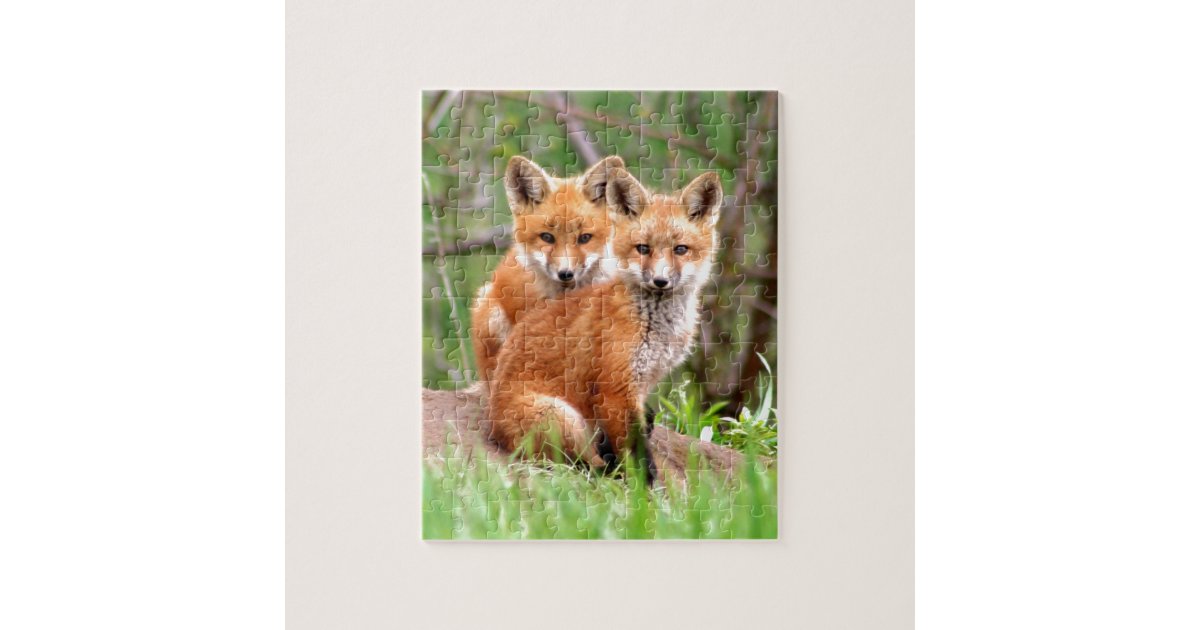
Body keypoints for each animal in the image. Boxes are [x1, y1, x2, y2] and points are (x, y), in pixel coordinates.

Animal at [487, 168, 724, 469]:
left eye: (680, 249)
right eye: (643, 249)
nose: (660, 281)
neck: (655, 326)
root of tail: (495, 431)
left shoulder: (641, 384)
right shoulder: (615, 388)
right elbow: (637, 455)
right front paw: (643, 481)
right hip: (563, 418)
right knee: (585, 465)